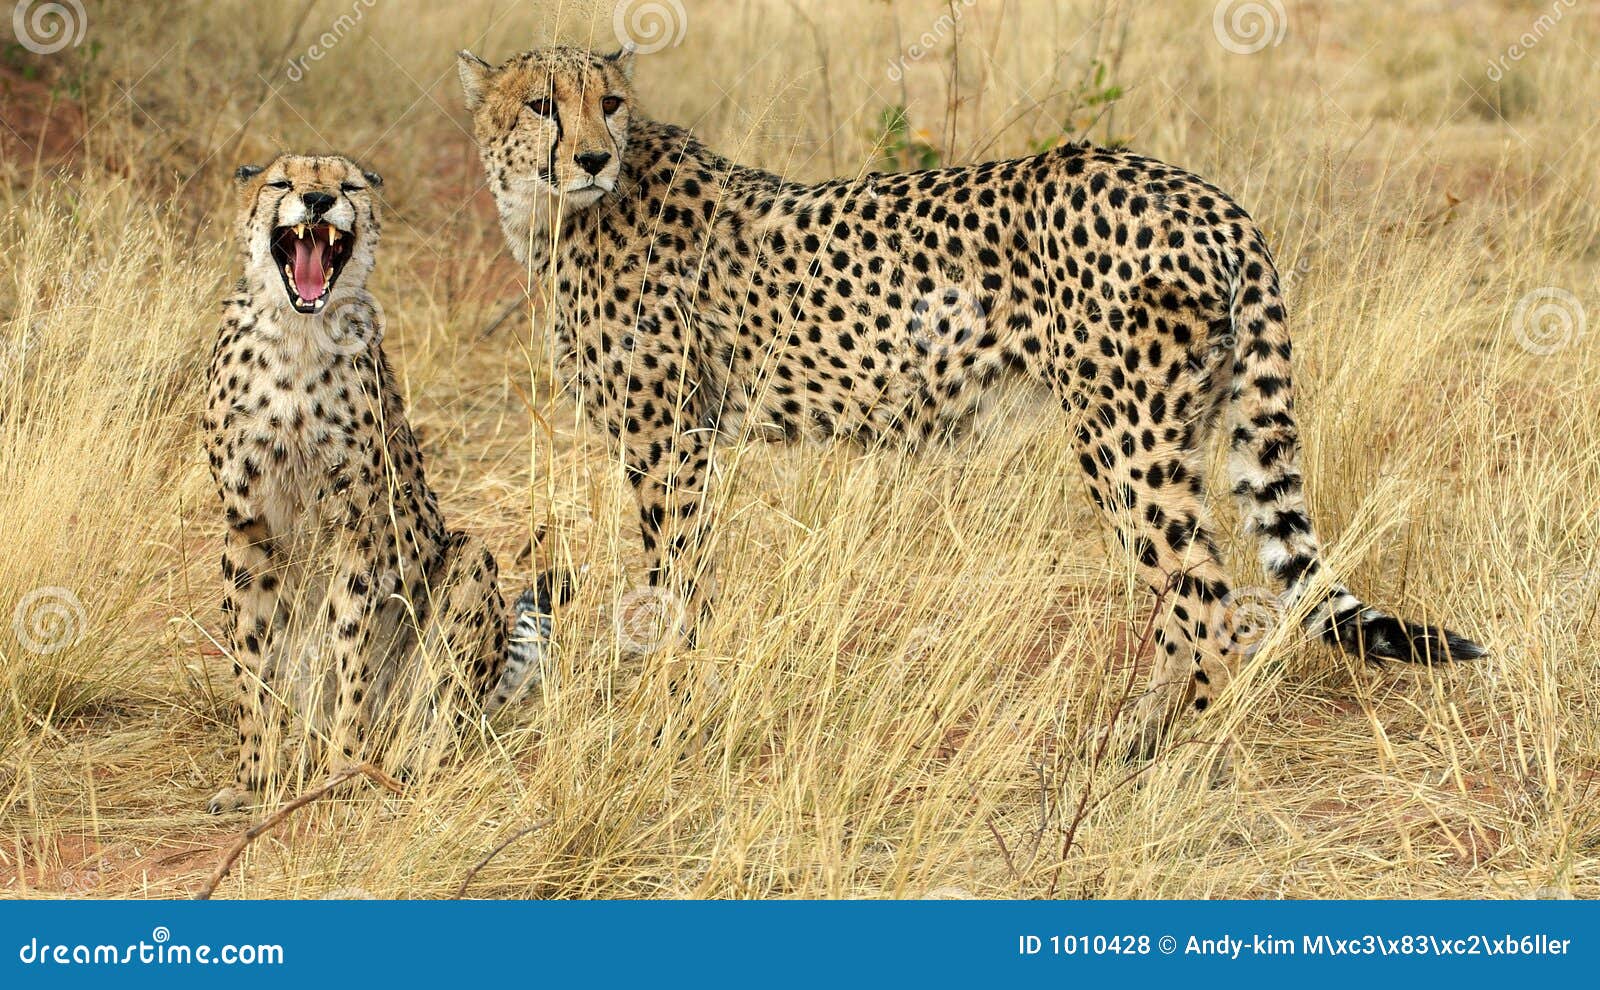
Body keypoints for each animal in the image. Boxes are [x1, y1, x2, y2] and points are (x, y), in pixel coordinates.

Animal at [201, 153, 553, 813]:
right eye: (282, 183)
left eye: (348, 186)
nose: (317, 201)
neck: (299, 335)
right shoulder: (247, 526)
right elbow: (251, 660)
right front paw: (253, 778)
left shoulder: (361, 527)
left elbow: (351, 651)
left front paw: (343, 768)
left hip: (468, 564)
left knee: (441, 709)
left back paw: (406, 759)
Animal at [456, 45, 1485, 751]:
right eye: (542, 104)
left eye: (609, 103)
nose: (591, 157)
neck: (556, 217)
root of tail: (1203, 192)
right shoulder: (686, 433)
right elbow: (689, 570)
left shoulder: (666, 435)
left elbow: (672, 574)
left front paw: (669, 695)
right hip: (1182, 423)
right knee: (1190, 591)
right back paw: (1145, 730)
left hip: (1123, 434)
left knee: (1205, 597)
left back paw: (1143, 751)